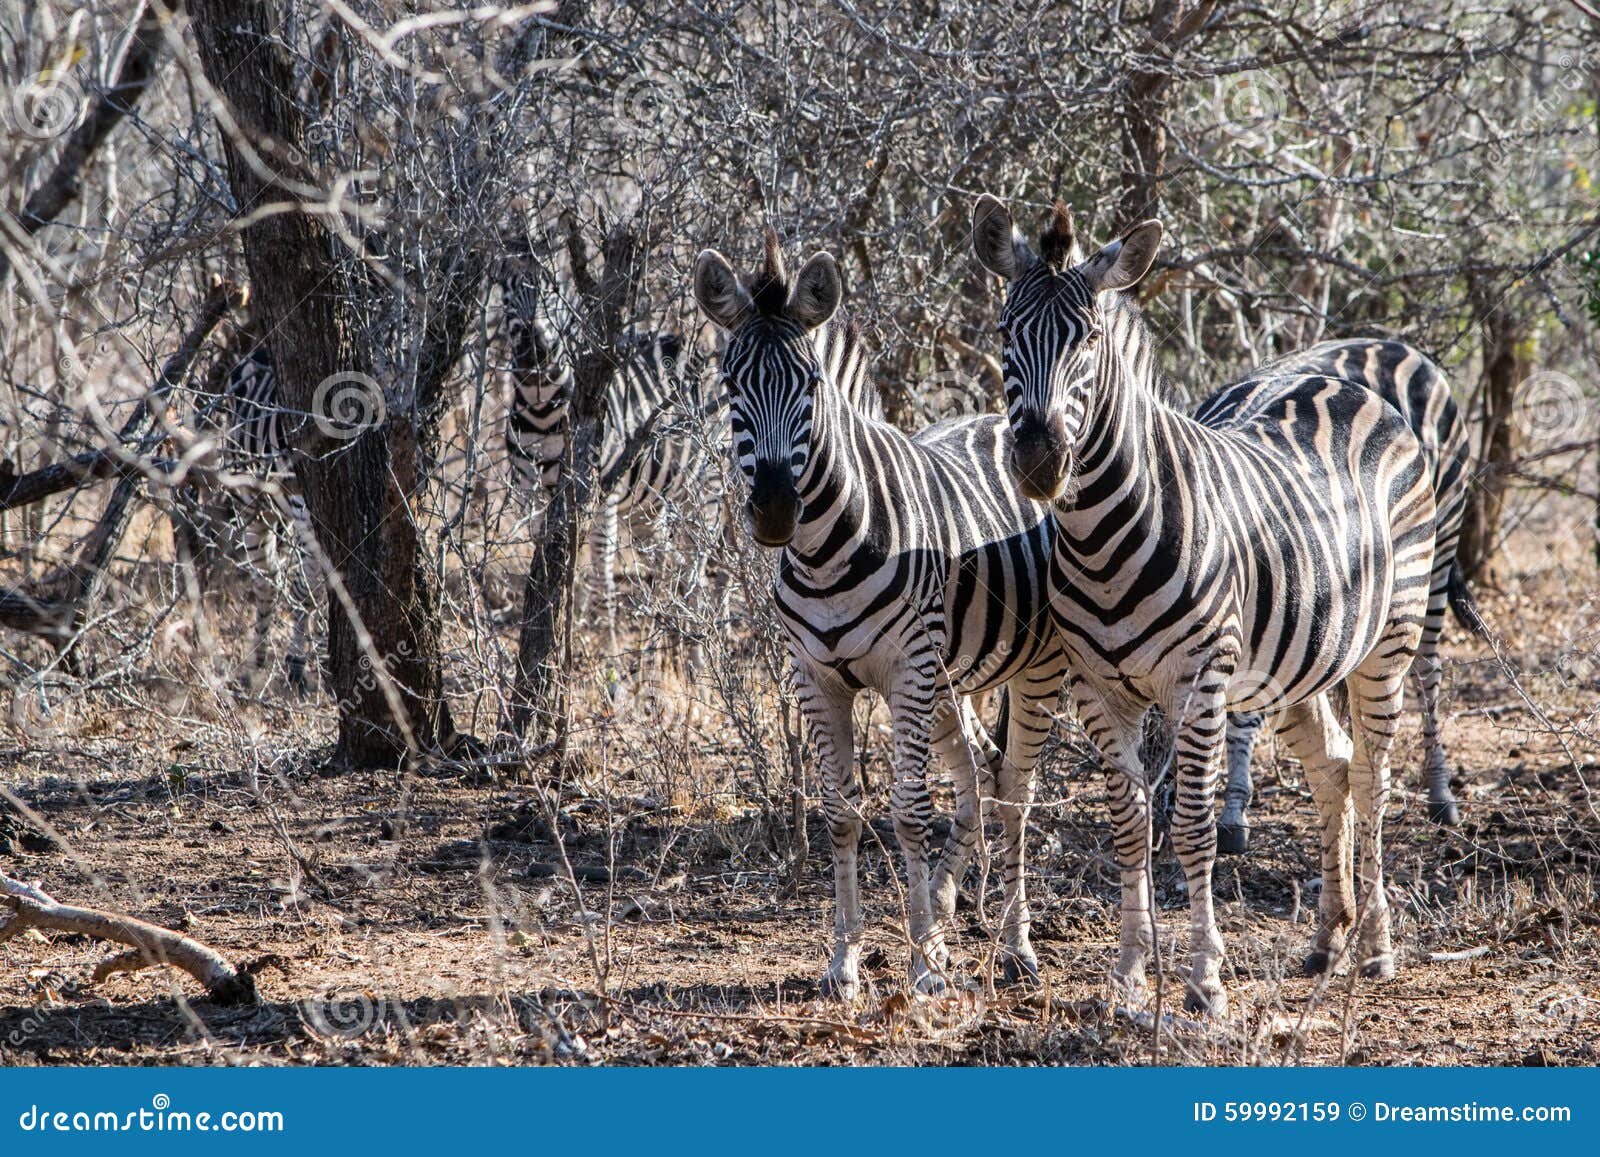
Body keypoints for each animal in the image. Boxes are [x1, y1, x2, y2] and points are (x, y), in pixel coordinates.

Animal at [693, 229, 1068, 998]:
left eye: (809, 386)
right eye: (730, 387)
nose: (774, 510)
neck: (825, 554)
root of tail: (1003, 418)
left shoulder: (907, 670)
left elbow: (909, 813)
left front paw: (922, 965)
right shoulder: (815, 676)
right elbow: (840, 814)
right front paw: (845, 963)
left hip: (1027, 667)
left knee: (1014, 791)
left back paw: (1015, 947)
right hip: (952, 680)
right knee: (979, 774)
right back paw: (953, 915)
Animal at [971, 196, 1437, 1014]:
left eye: (1090, 339)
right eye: (1004, 332)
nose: (1037, 461)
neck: (1102, 536)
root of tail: (1346, 384)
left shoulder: (1201, 680)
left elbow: (1189, 823)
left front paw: (1203, 980)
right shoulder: (1098, 687)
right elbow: (1128, 822)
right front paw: (1128, 977)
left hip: (1390, 640)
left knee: (1374, 775)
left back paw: (1376, 949)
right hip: (1298, 658)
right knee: (1334, 766)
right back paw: (1328, 939)